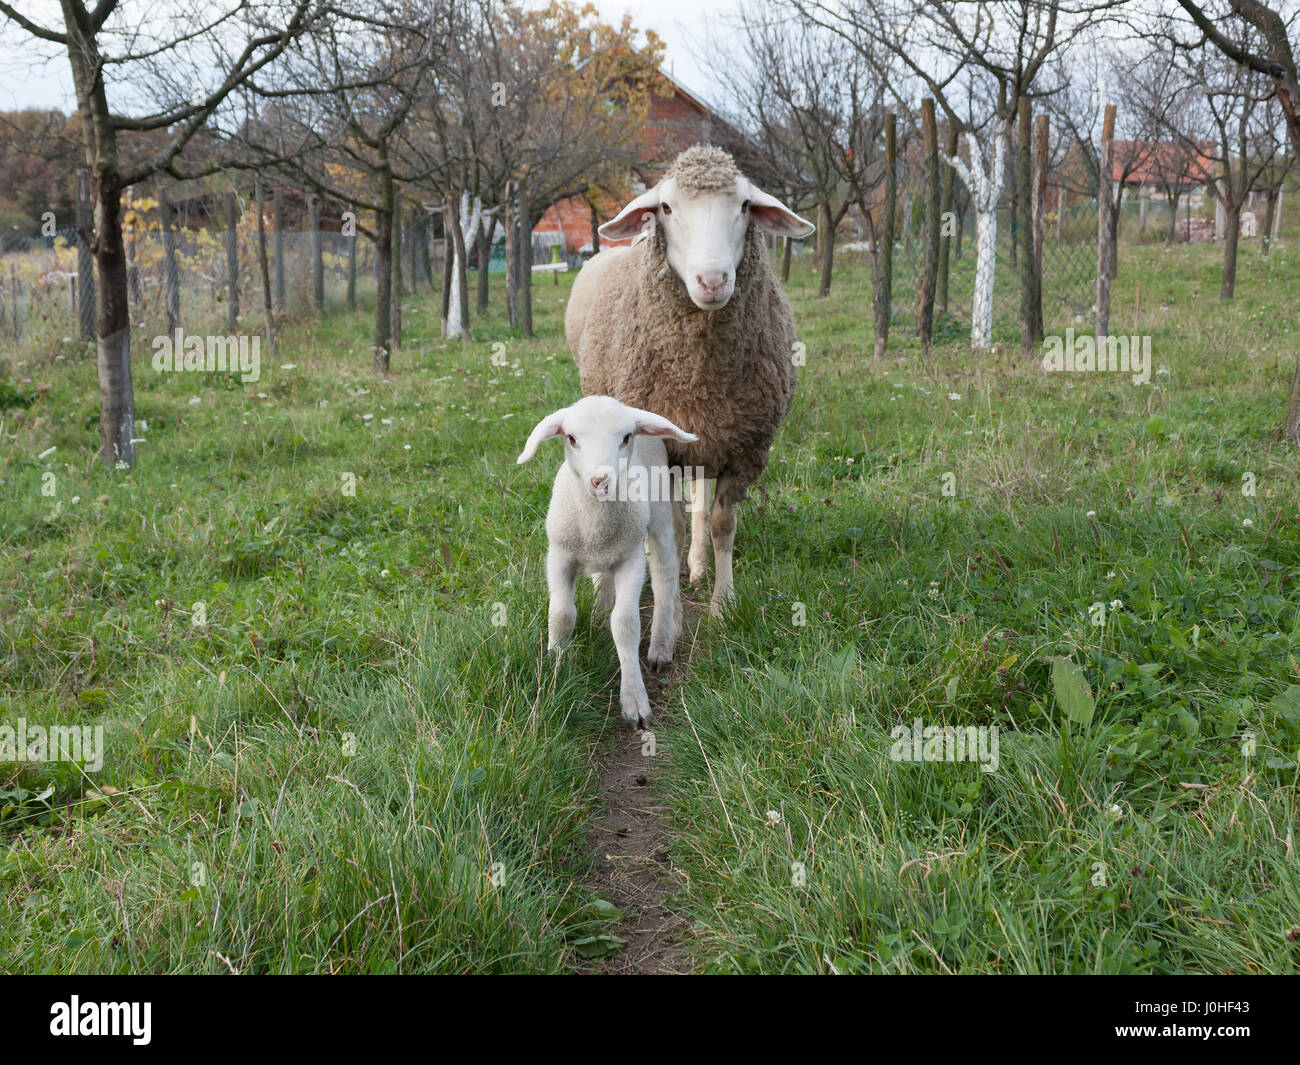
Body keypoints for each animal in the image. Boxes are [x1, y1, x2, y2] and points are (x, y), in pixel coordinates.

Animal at [516, 394, 698, 727]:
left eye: (625, 437)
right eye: (571, 438)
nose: (600, 480)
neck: (593, 525)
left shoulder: (631, 561)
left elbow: (625, 623)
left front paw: (634, 700)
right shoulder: (559, 557)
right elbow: (561, 615)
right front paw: (557, 667)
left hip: (660, 514)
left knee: (665, 576)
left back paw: (661, 644)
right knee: (604, 582)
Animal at [565, 144, 815, 618]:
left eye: (745, 205)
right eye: (665, 207)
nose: (712, 280)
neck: (703, 379)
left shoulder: (747, 446)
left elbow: (721, 524)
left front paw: (723, 601)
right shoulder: (662, 445)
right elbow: (673, 529)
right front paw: (672, 602)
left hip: (707, 437)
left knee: (699, 501)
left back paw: (699, 566)